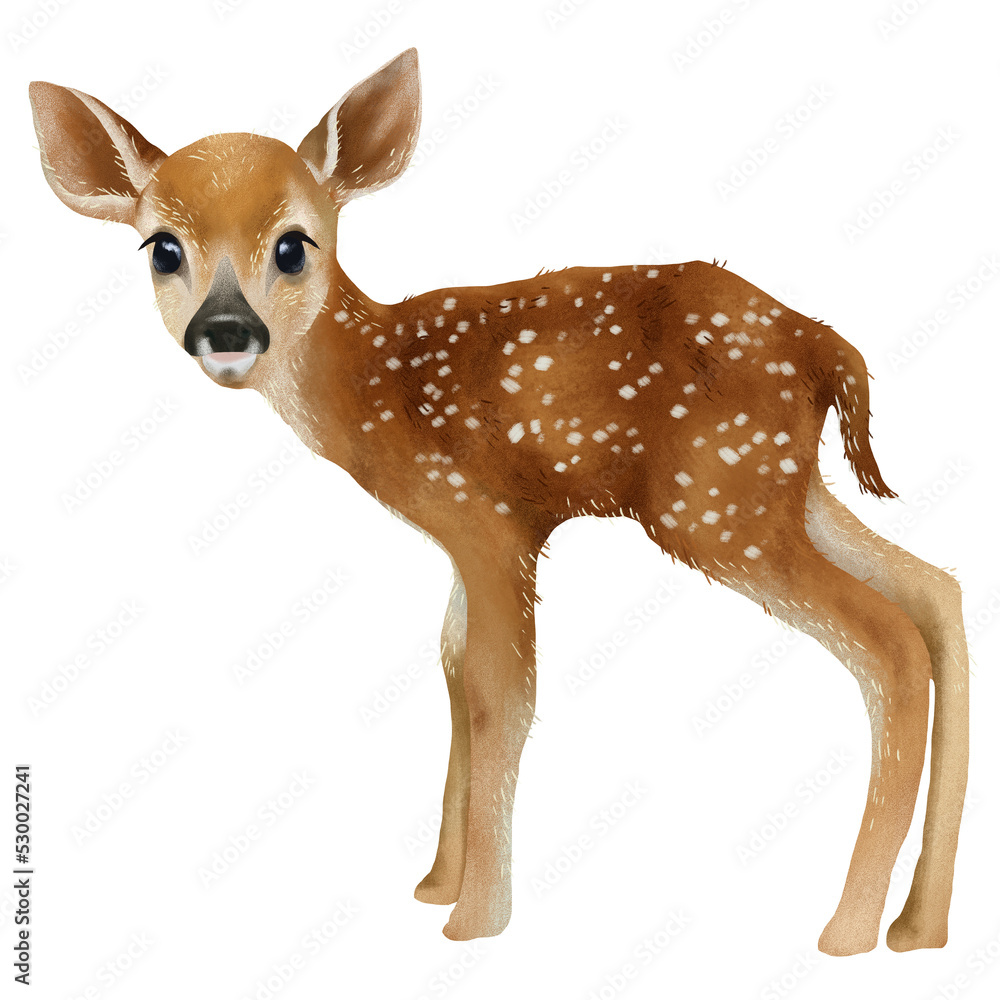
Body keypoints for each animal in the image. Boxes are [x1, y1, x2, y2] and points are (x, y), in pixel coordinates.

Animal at [29, 48, 969, 954]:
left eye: (295, 245)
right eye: (162, 248)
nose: (226, 330)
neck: (381, 384)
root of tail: (825, 345)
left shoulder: (488, 519)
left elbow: (497, 692)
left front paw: (476, 919)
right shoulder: (472, 538)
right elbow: (451, 665)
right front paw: (435, 884)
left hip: (715, 505)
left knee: (889, 644)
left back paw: (848, 932)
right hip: (780, 489)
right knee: (936, 590)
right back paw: (918, 927)